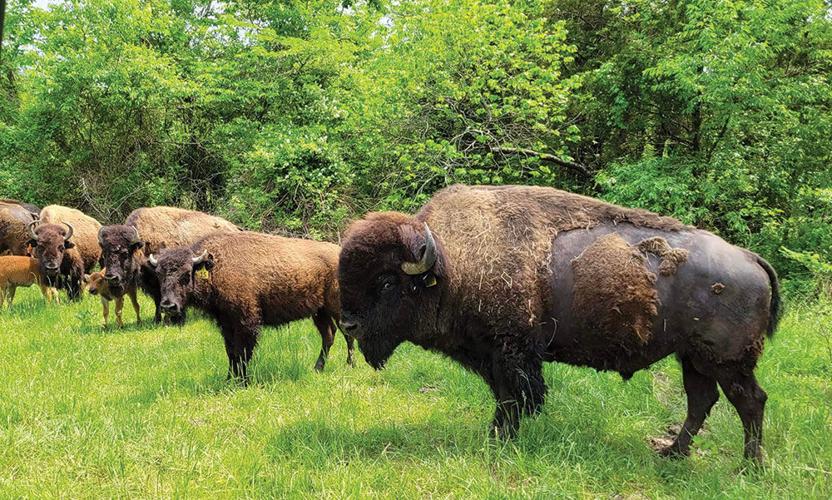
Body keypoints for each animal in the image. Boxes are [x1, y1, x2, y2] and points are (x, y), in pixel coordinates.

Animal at [146, 231, 352, 380]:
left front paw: (243, 381)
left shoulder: (247, 322)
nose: (168, 306)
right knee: (329, 336)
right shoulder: (226, 324)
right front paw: (230, 379)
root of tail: (338, 253)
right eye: (159, 275)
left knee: (346, 334)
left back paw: (350, 365)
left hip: (336, 308)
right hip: (320, 312)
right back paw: (317, 368)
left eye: (186, 274)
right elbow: (231, 352)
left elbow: (243, 351)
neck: (216, 267)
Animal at [338, 184, 780, 463]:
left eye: (387, 281)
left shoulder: (511, 353)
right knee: (701, 401)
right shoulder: (494, 357)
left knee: (750, 401)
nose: (348, 325)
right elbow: (505, 398)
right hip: (694, 360)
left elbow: (516, 398)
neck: (452, 261)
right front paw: (497, 434)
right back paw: (672, 454)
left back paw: (749, 465)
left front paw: (501, 439)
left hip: (727, 362)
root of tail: (750, 258)